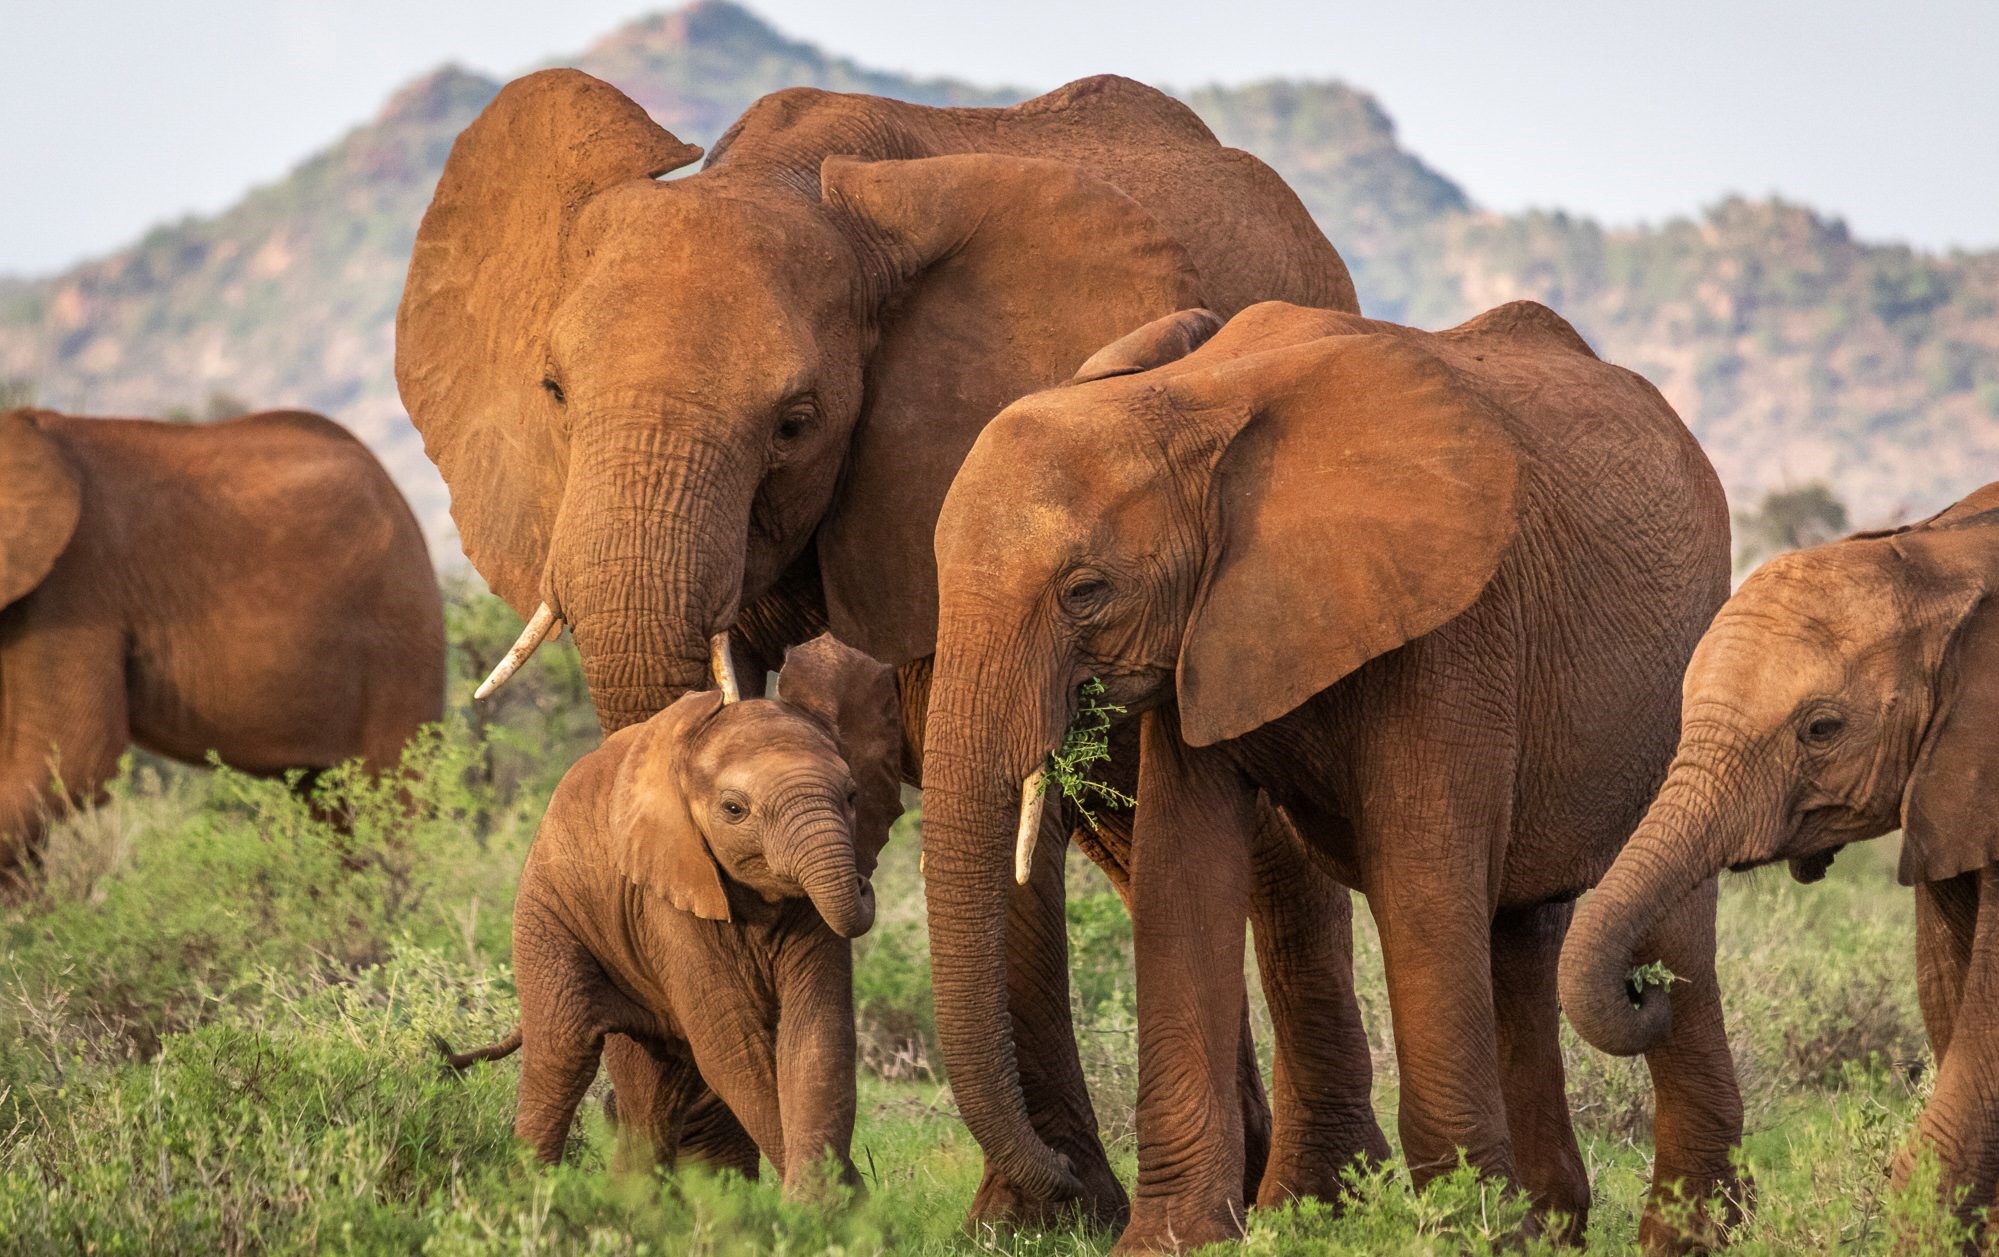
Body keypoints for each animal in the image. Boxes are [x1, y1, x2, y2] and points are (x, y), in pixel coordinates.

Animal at [435, 635, 902, 1197]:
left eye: (853, 797)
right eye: (733, 809)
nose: (862, 882)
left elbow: (817, 1036)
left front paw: (834, 1204)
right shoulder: (666, 898)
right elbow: (733, 1052)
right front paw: (833, 1205)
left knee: (657, 1086)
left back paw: (630, 1204)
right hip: (547, 908)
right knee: (562, 1051)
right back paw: (528, 1195)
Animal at [918, 299, 1745, 1252]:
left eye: (1084, 590)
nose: (1056, 1179)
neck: (1191, 399)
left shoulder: (1452, 622)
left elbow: (1421, 877)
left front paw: (1461, 1231)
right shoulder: (1202, 637)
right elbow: (1181, 879)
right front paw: (1170, 1240)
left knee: (1667, 936)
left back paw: (1687, 1232)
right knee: (1521, 935)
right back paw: (1546, 1227)